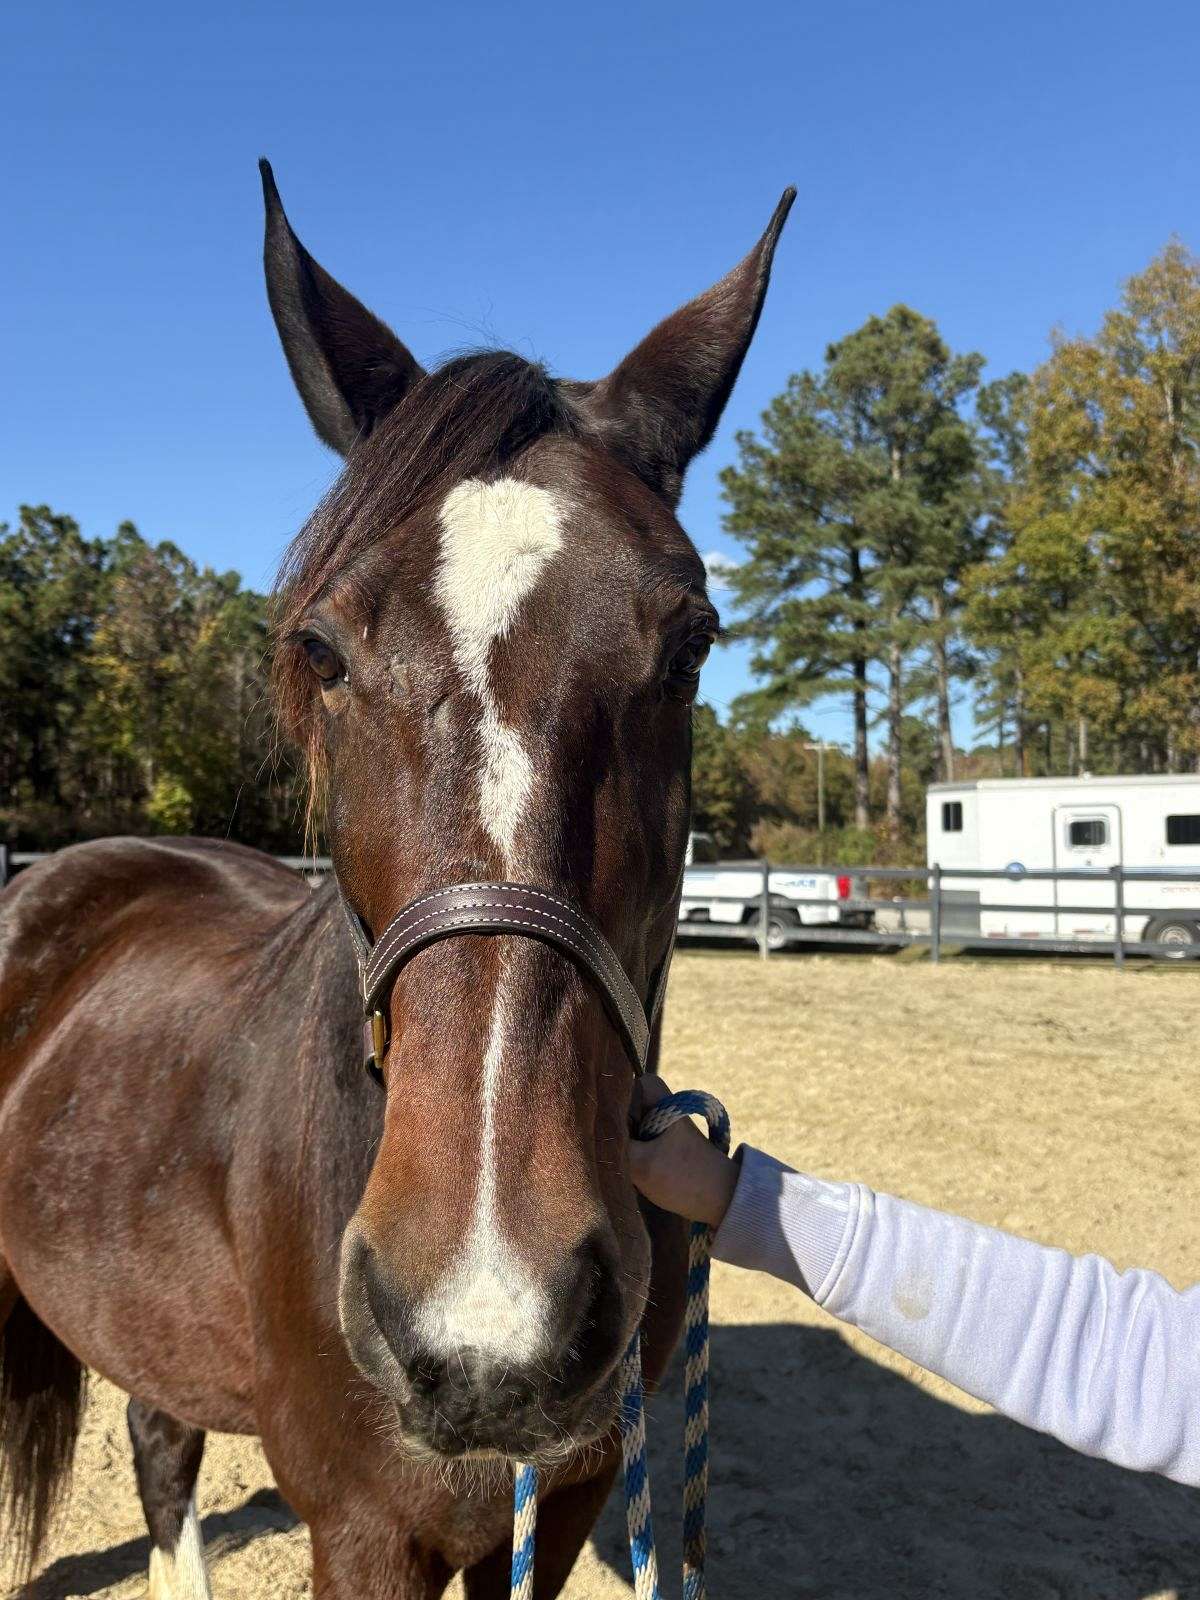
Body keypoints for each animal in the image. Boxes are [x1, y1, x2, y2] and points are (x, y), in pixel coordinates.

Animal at [0, 162, 793, 1598]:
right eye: (321, 648)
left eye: (694, 644)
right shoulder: (363, 1528)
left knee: (161, 1440)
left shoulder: (562, 1503)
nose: (490, 1318)